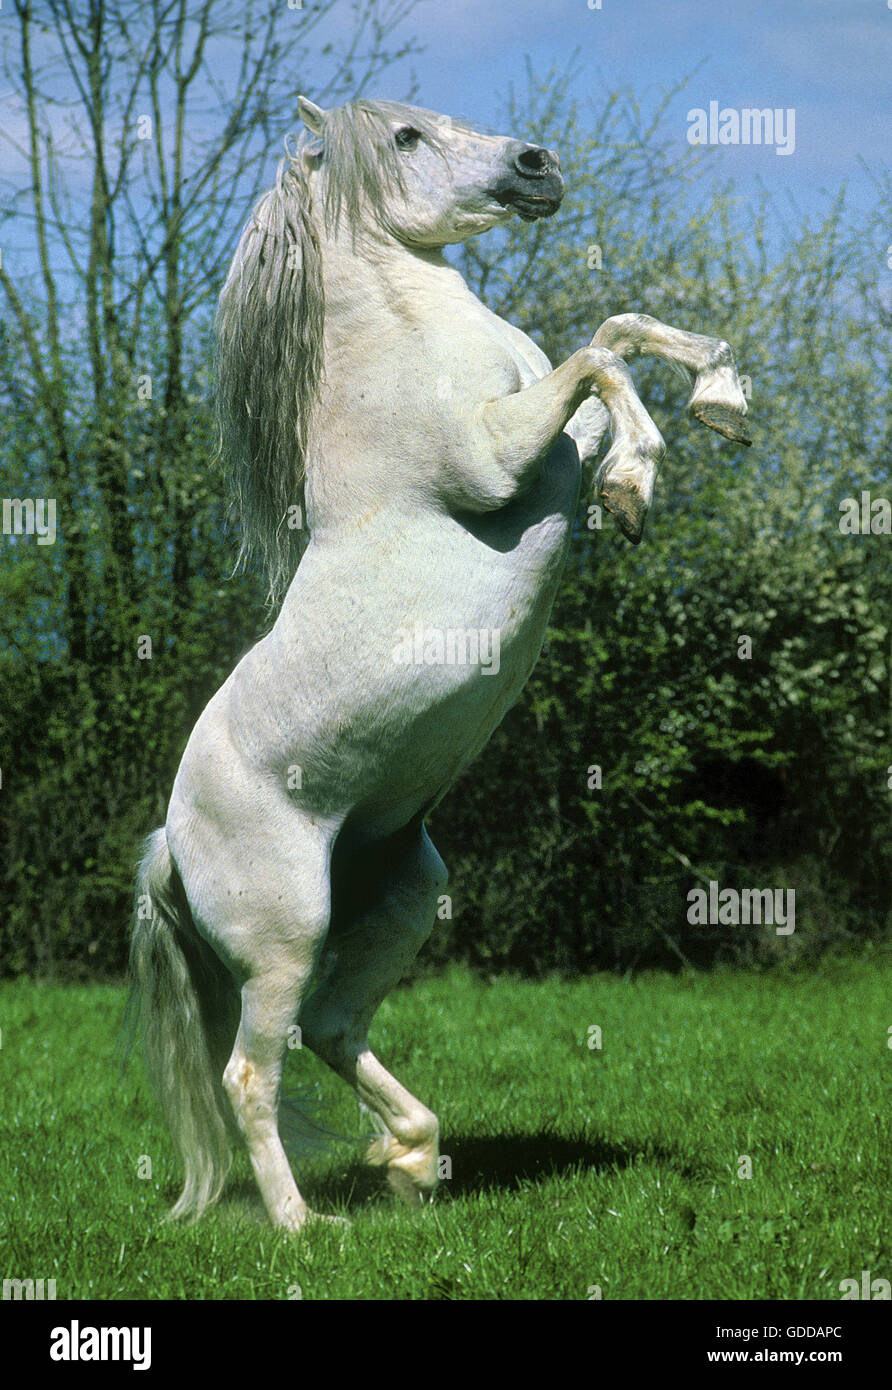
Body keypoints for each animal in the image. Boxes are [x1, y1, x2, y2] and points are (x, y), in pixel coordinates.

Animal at [129, 95, 751, 1233]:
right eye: (407, 137)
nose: (537, 165)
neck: (401, 348)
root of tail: (170, 846)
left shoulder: (549, 436)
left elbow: (617, 334)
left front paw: (705, 412)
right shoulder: (498, 459)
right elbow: (598, 357)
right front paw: (646, 474)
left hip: (403, 895)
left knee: (334, 1026)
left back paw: (411, 1157)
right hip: (284, 933)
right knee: (254, 1069)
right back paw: (304, 1228)